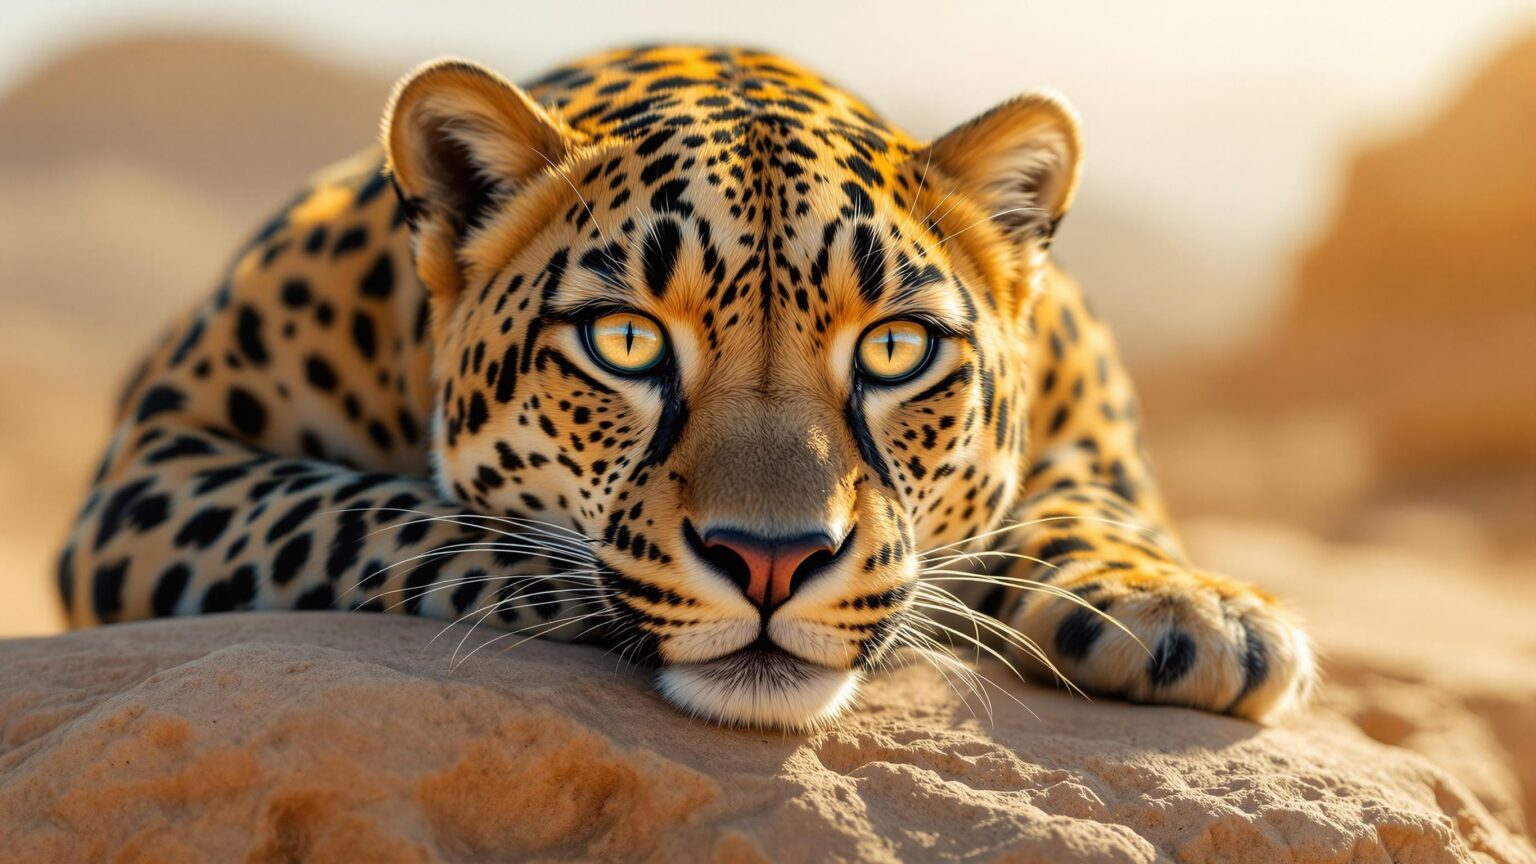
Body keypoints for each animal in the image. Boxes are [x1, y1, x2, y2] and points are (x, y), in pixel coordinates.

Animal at [56, 45, 1315, 729]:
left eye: (896, 352)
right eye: (623, 342)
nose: (771, 561)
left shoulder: (1084, 380)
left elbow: (1093, 496)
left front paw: (1189, 610)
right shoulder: (154, 464)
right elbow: (353, 509)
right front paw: (546, 583)